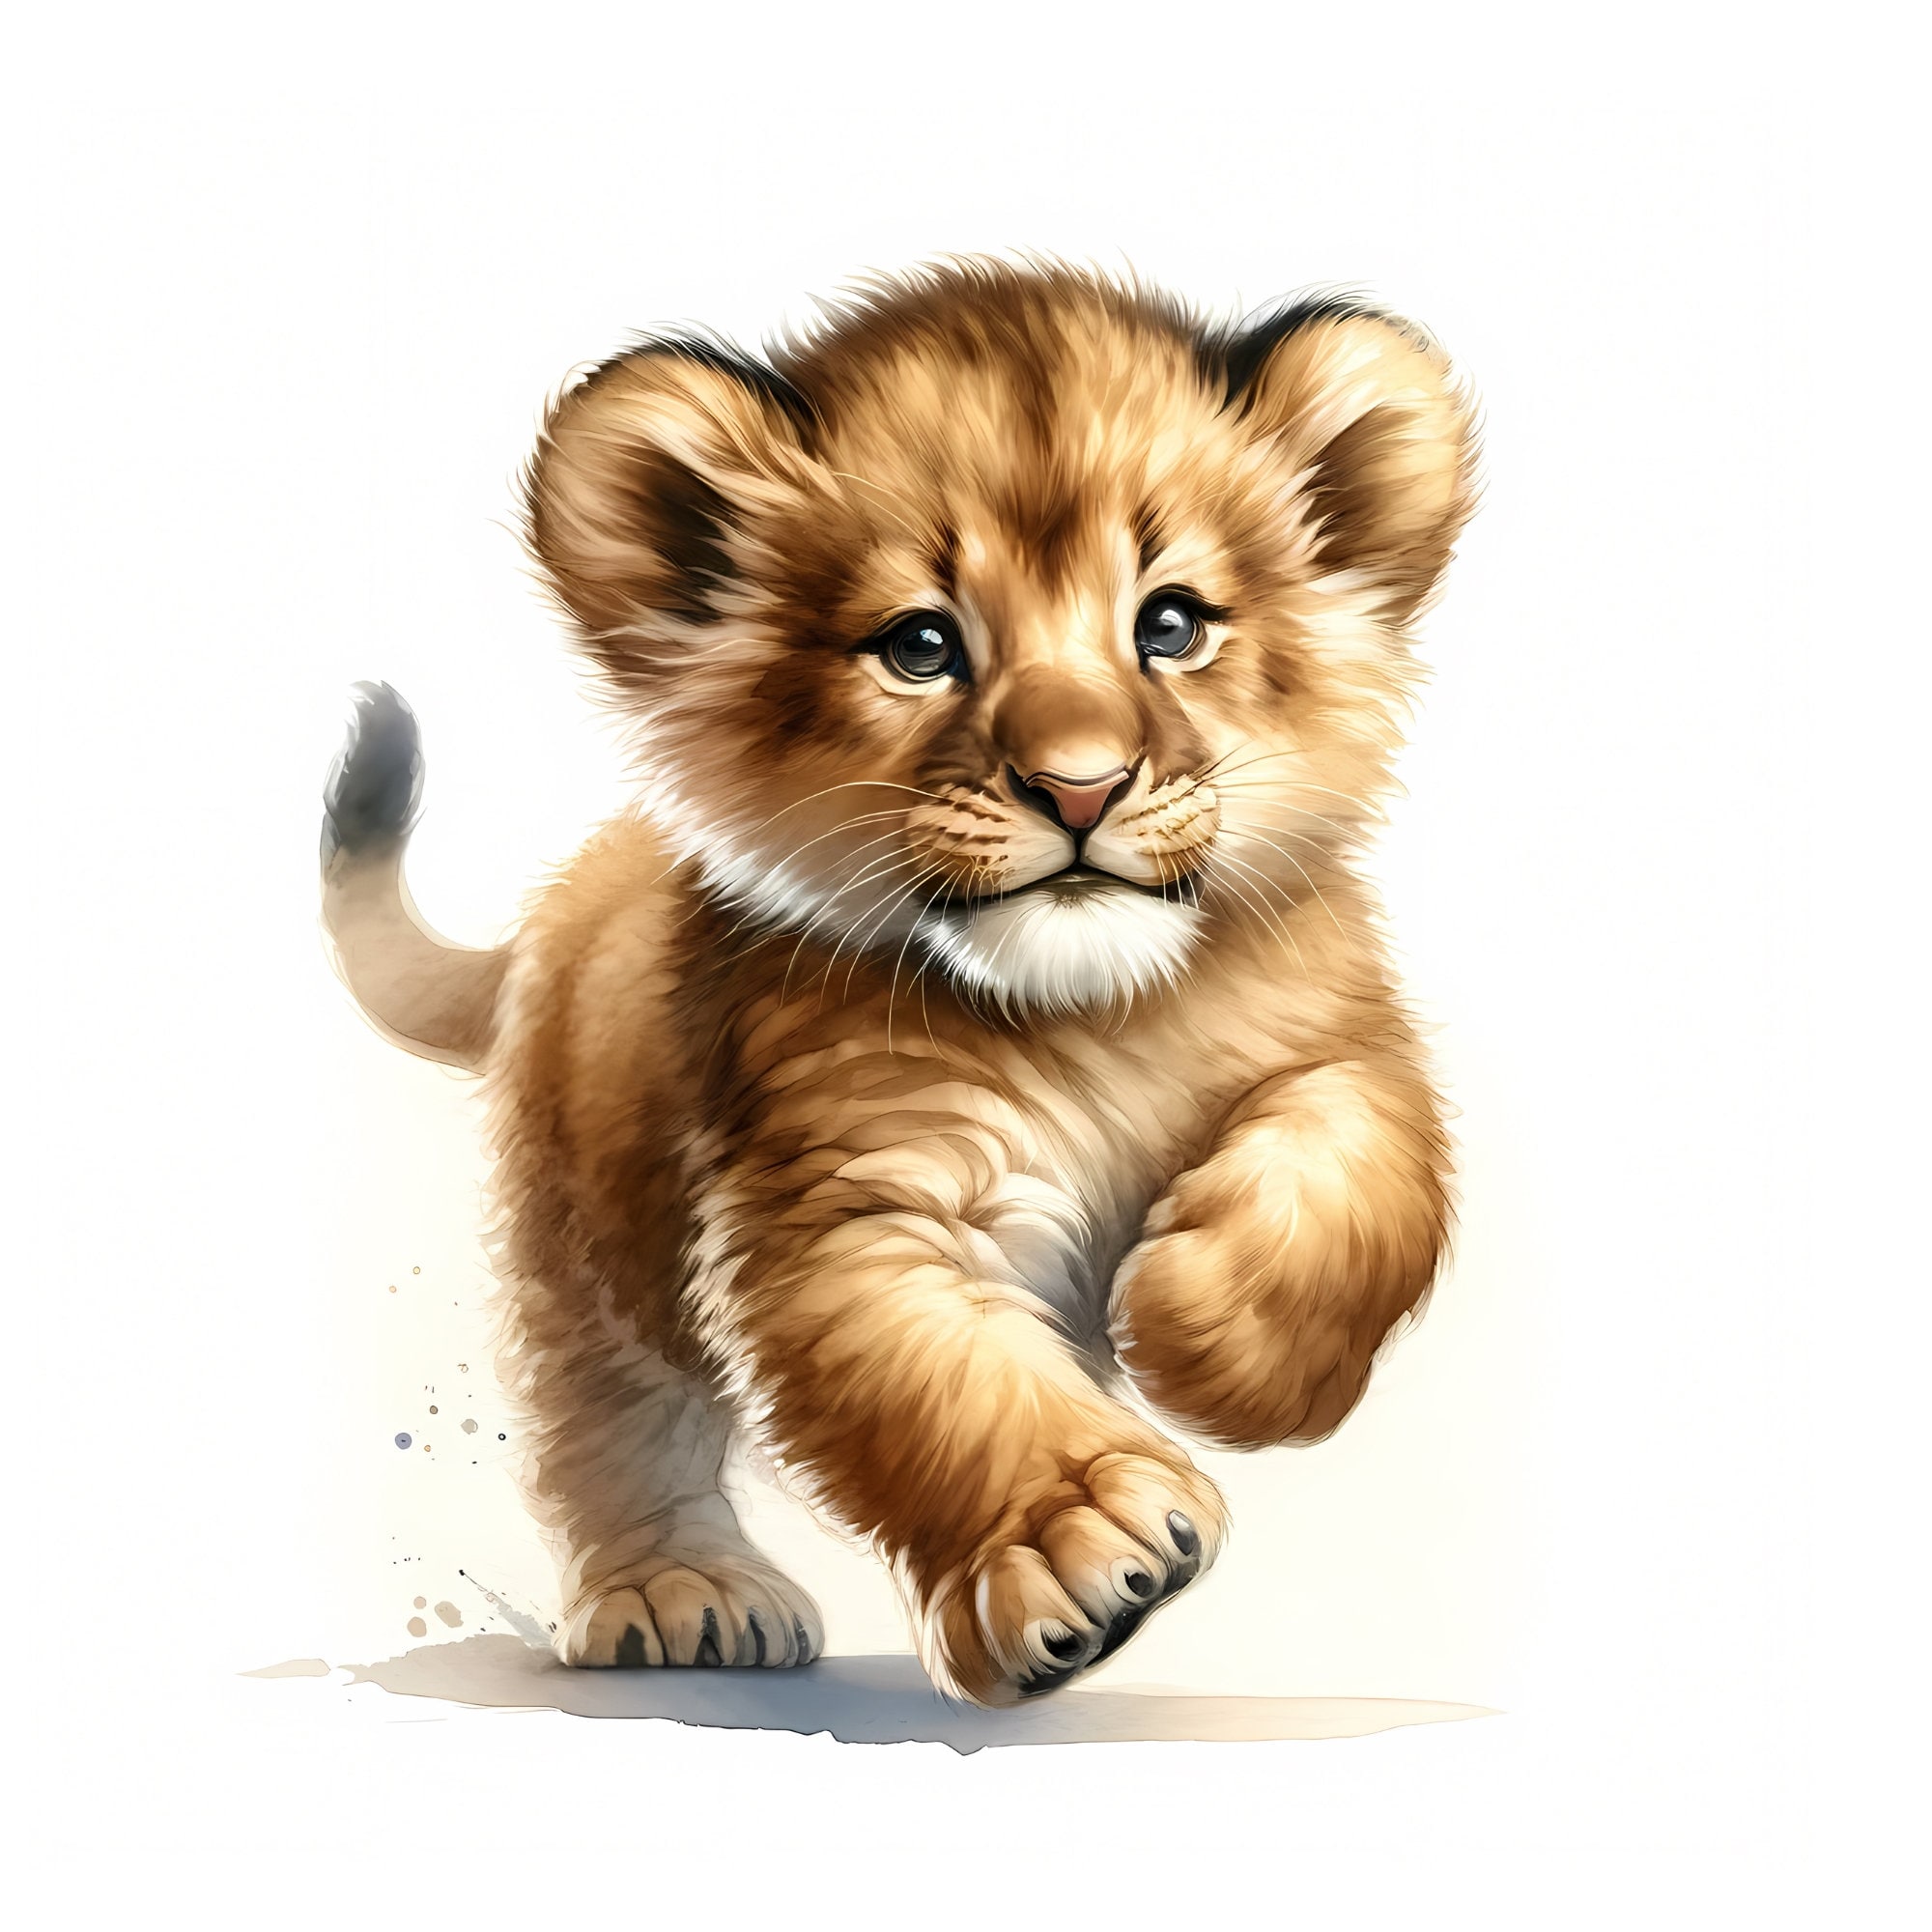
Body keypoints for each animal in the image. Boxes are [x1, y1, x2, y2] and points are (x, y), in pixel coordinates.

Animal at [320, 259, 1479, 1706]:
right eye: (920, 646)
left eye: (1169, 624)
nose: (1080, 787)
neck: (1097, 1018)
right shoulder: (845, 1202)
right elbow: (931, 1380)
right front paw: (1082, 1544)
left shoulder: (1339, 1040)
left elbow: (1362, 1176)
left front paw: (1213, 1339)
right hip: (582, 1241)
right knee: (608, 1422)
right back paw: (676, 1590)